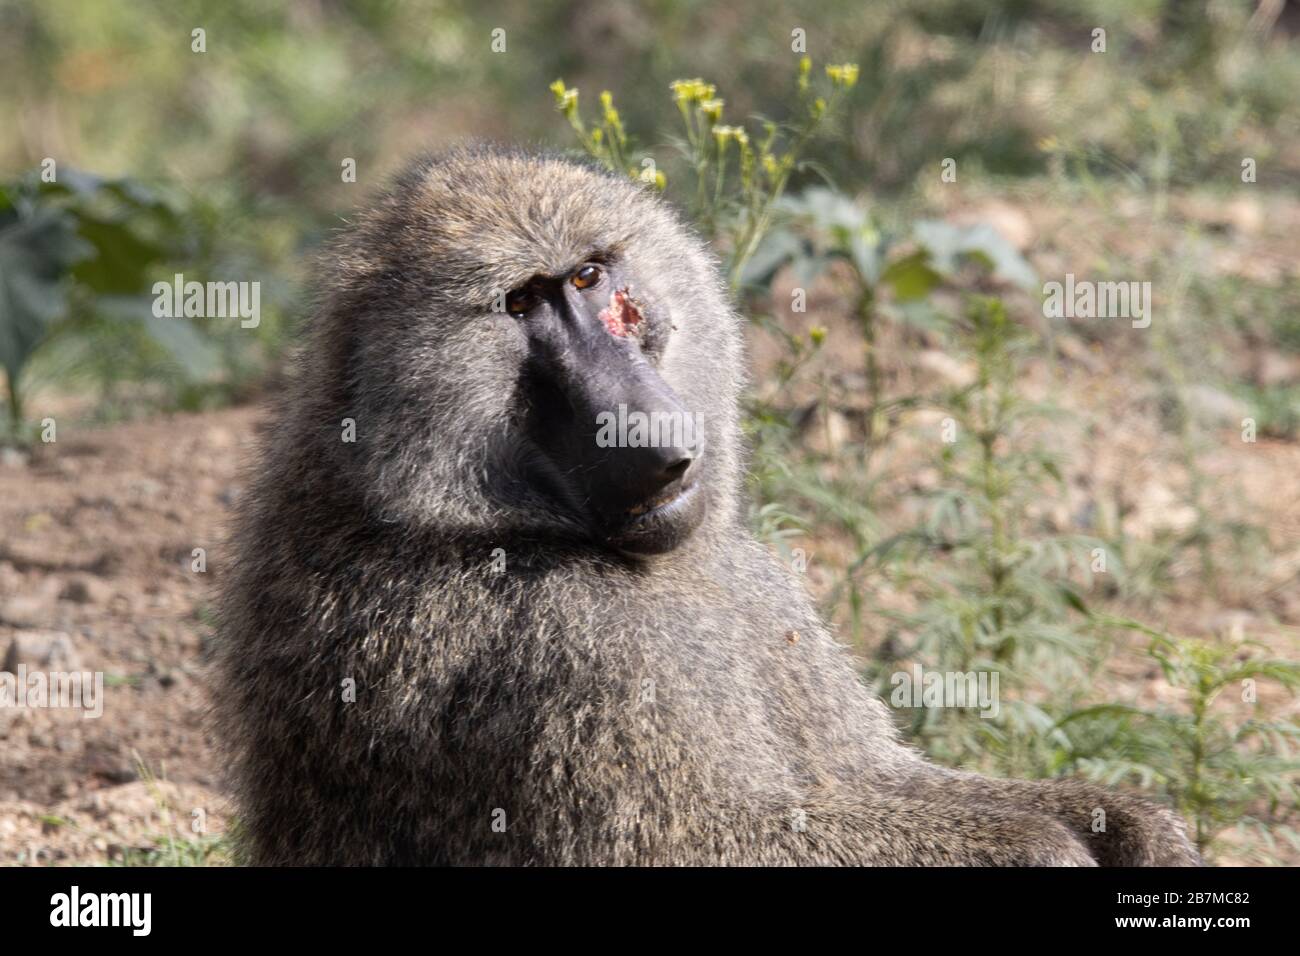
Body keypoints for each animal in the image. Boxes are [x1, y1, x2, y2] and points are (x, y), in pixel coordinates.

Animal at [212, 145, 1199, 866]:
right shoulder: (562, 649)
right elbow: (700, 843)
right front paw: (1042, 849)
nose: (649, 435)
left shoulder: (756, 598)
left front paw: (1136, 830)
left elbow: (873, 775)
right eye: (520, 303)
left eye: (590, 279)